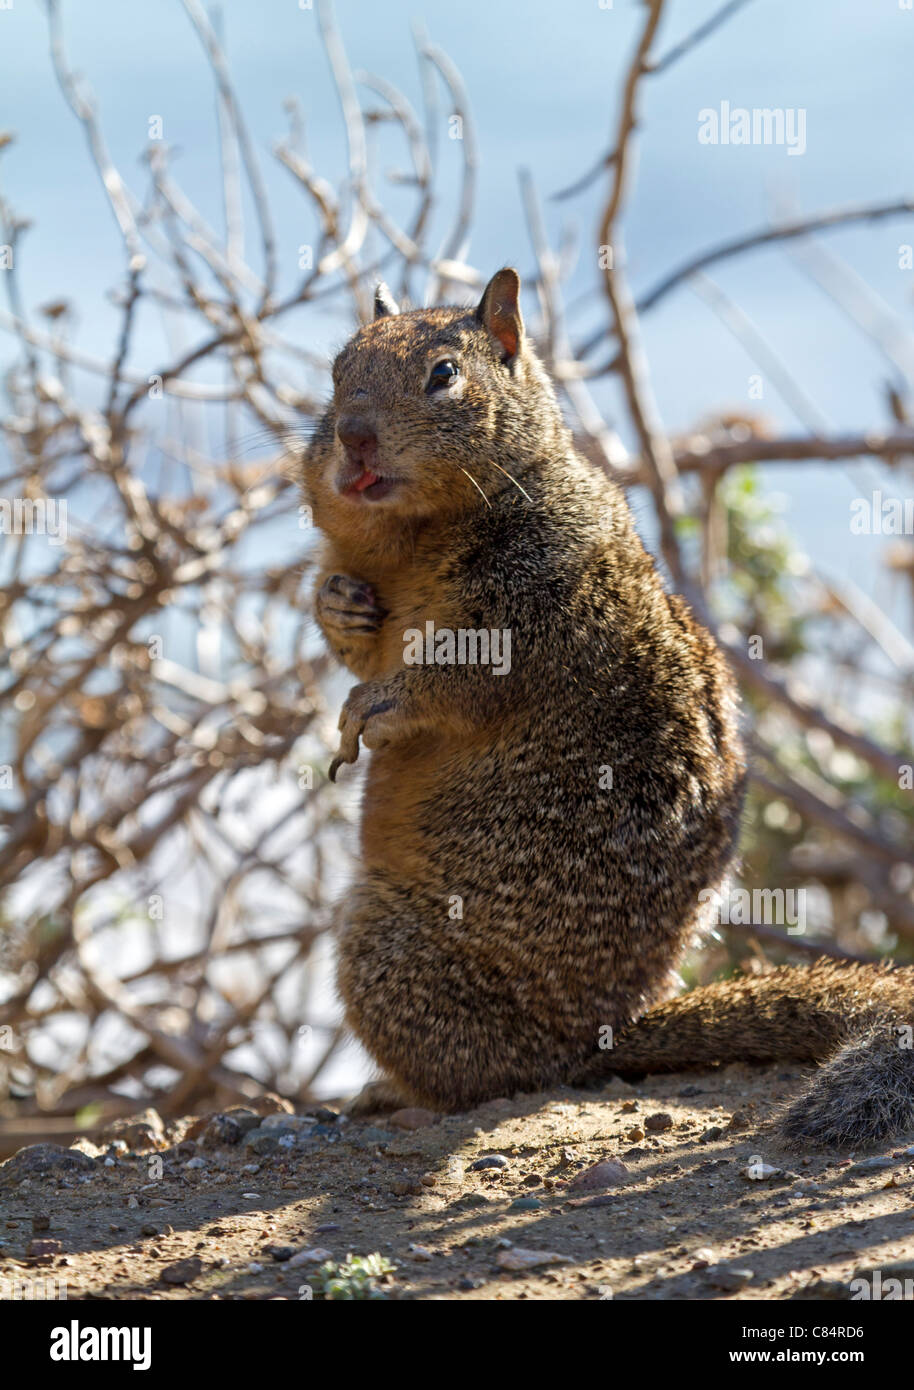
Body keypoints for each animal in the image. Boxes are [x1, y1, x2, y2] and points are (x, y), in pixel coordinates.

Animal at [303, 268, 914, 1150]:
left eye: (443, 374)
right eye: (335, 370)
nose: (352, 437)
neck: (414, 536)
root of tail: (603, 1034)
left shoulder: (523, 609)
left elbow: (450, 684)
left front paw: (373, 709)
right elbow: (355, 631)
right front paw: (337, 603)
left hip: (384, 946)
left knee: (484, 1080)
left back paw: (392, 1091)